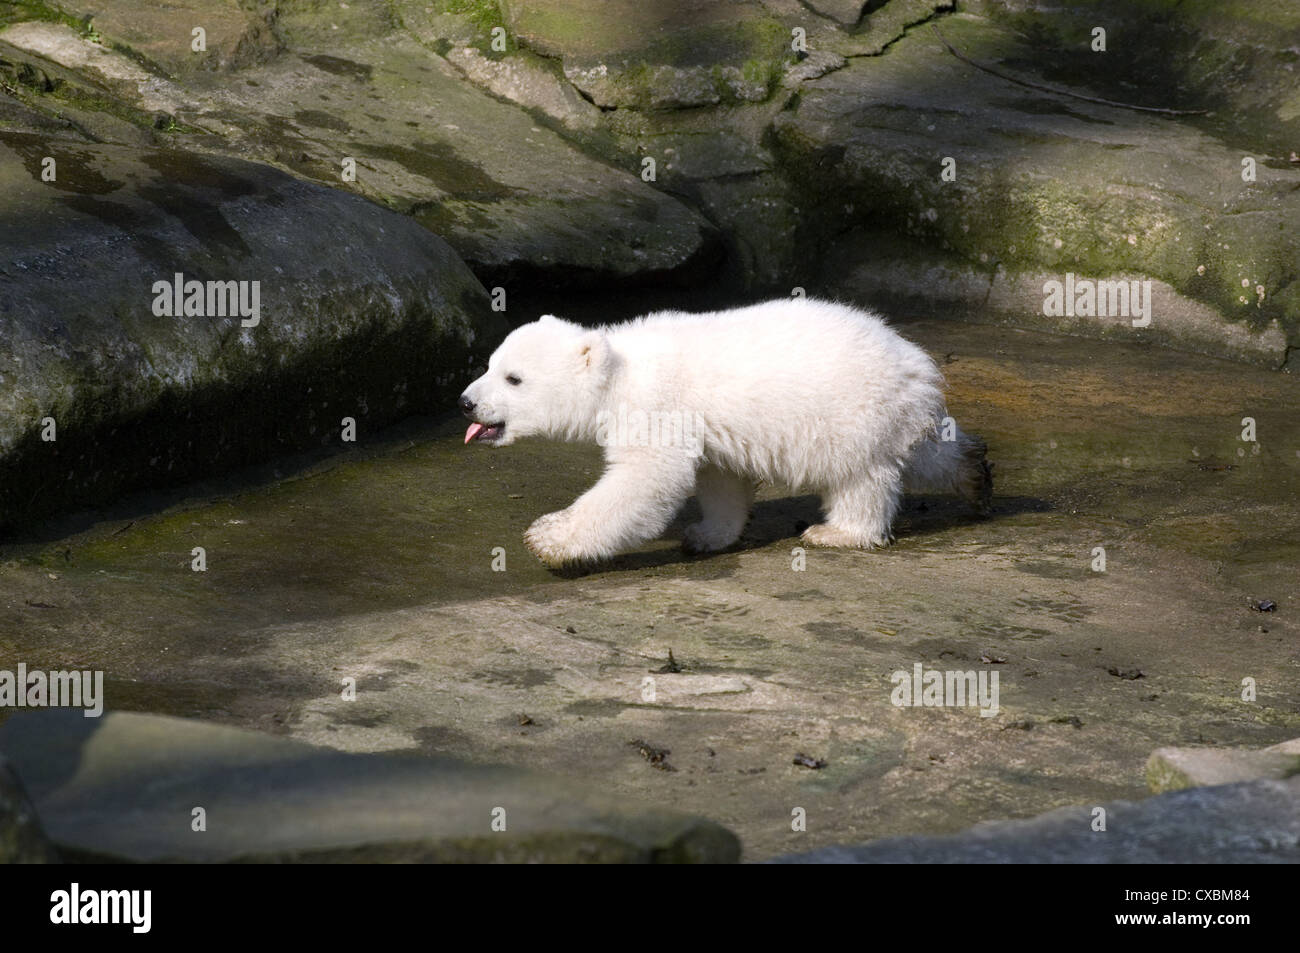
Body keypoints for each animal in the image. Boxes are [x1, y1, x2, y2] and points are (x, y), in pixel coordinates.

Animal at [458, 297, 991, 567]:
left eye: (514, 378)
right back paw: (975, 473)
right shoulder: (703, 424)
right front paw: (707, 534)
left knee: (859, 477)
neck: (619, 370)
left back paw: (837, 532)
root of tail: (915, 363)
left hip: (850, 411)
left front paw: (548, 538)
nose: (466, 402)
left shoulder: (657, 407)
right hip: (891, 416)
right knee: (925, 451)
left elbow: (646, 478)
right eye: (489, 364)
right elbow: (719, 479)